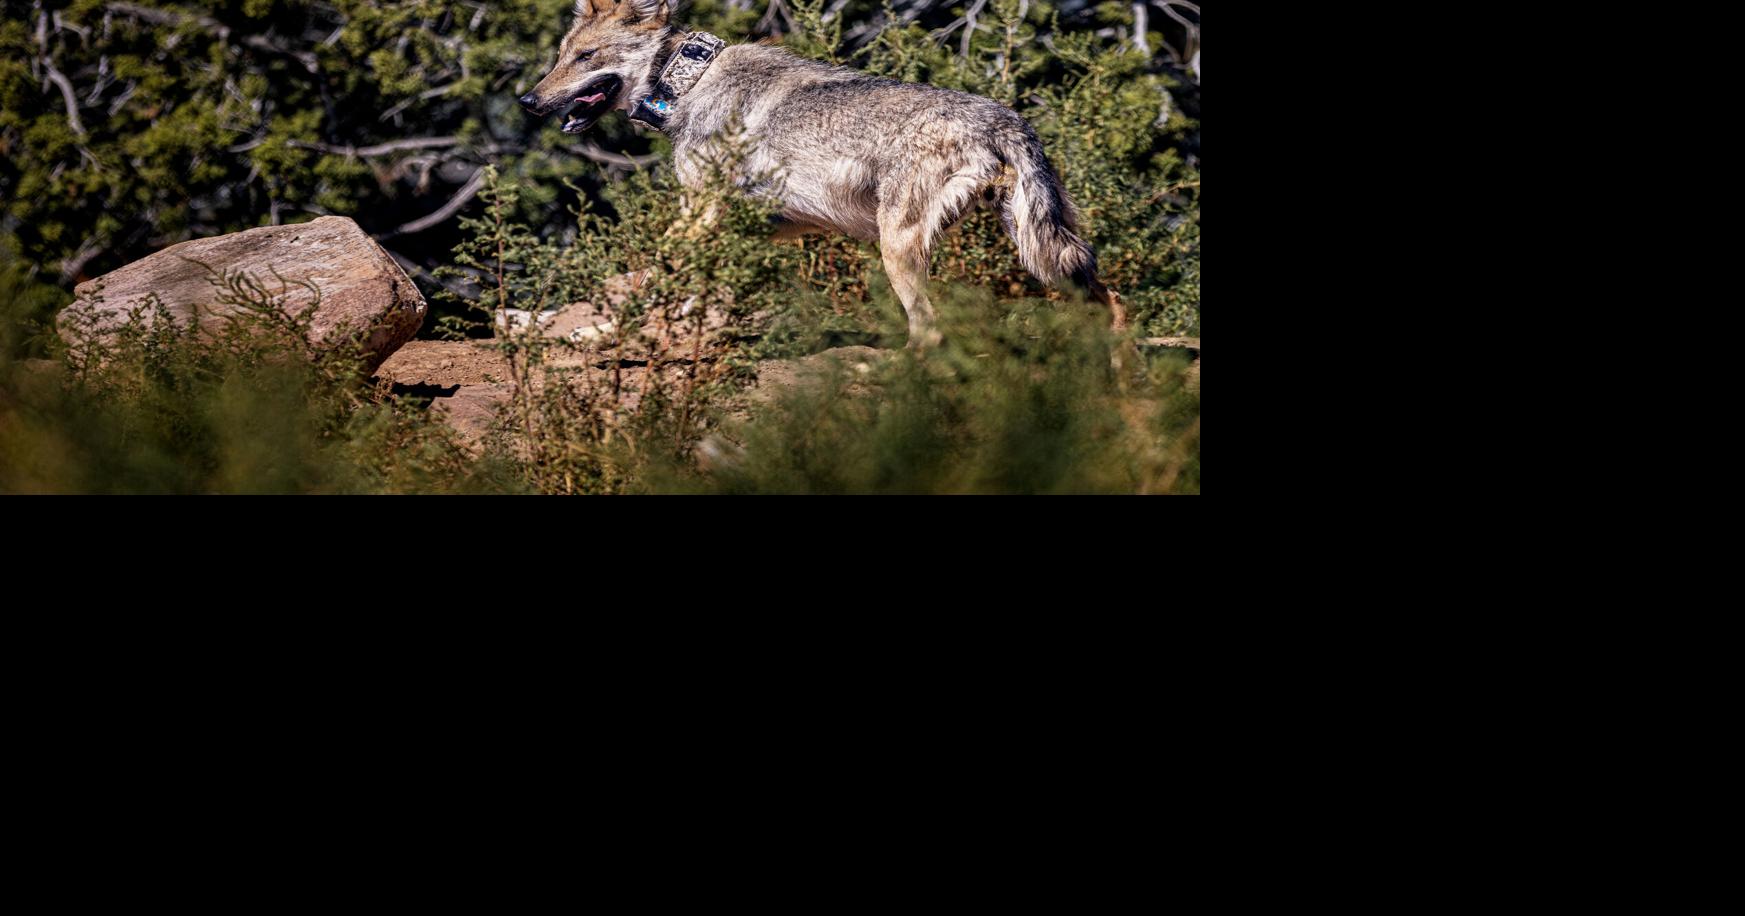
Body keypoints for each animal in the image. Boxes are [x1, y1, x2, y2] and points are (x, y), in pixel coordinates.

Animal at [518, 0, 1124, 347]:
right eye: (561, 55)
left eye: (586, 57)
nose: (527, 101)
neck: (691, 82)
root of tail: (1006, 118)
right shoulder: (748, 227)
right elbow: (683, 290)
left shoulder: (699, 215)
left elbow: (650, 278)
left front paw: (597, 335)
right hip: (1037, 251)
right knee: (1113, 304)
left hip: (901, 248)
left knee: (928, 332)